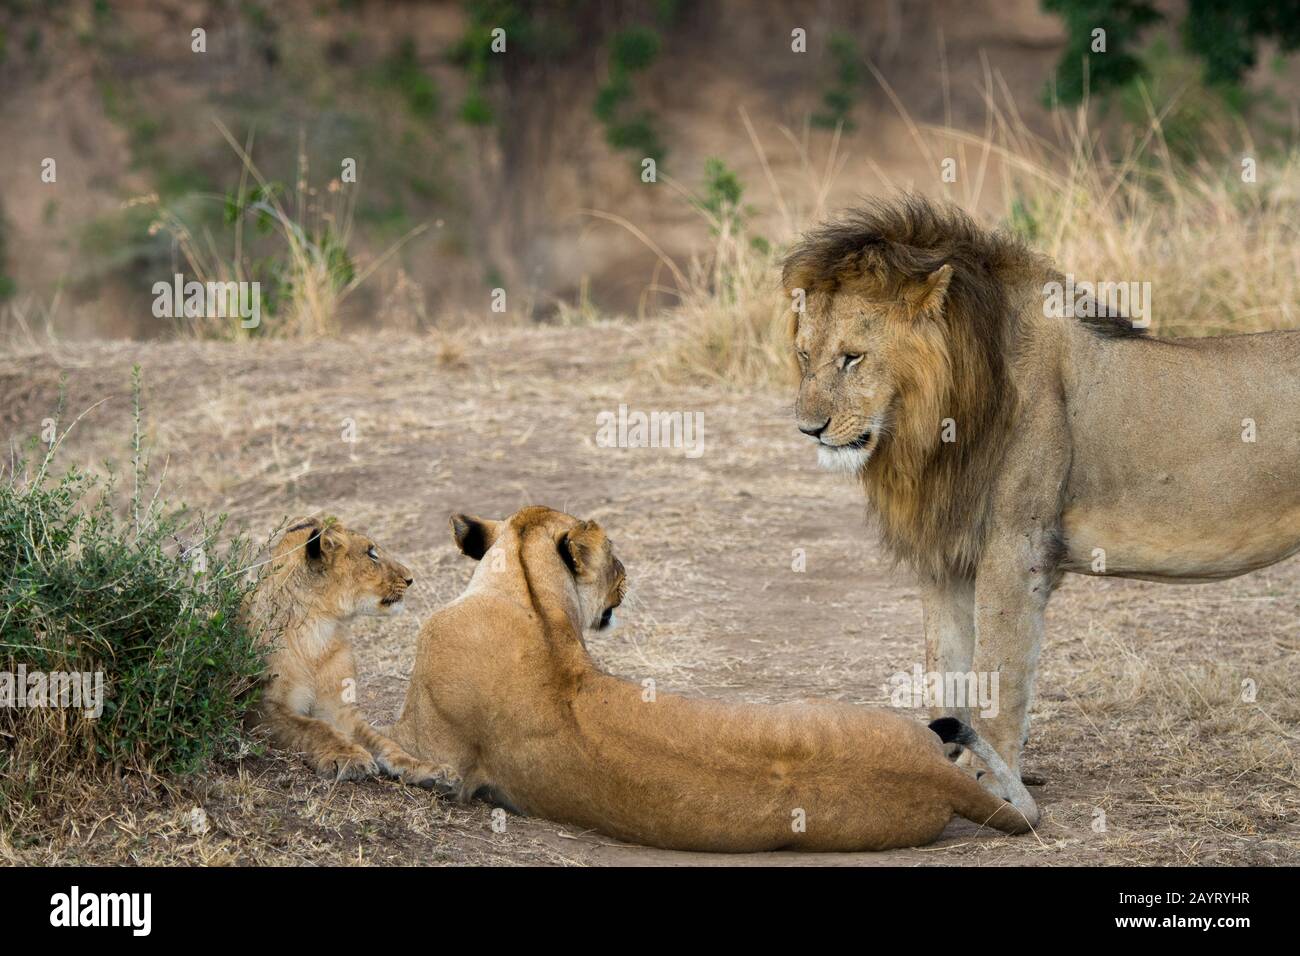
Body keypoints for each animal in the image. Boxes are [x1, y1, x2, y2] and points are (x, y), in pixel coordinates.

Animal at [245, 517, 455, 788]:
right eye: (371, 553)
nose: (410, 579)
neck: (318, 631)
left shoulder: (340, 708)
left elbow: (383, 742)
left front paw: (428, 768)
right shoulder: (261, 709)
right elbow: (314, 728)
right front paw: (348, 757)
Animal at [782, 194, 1300, 791]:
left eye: (852, 357)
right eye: (804, 356)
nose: (809, 429)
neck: (929, 424)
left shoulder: (1017, 546)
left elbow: (999, 674)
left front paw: (991, 777)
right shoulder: (947, 556)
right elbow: (946, 669)